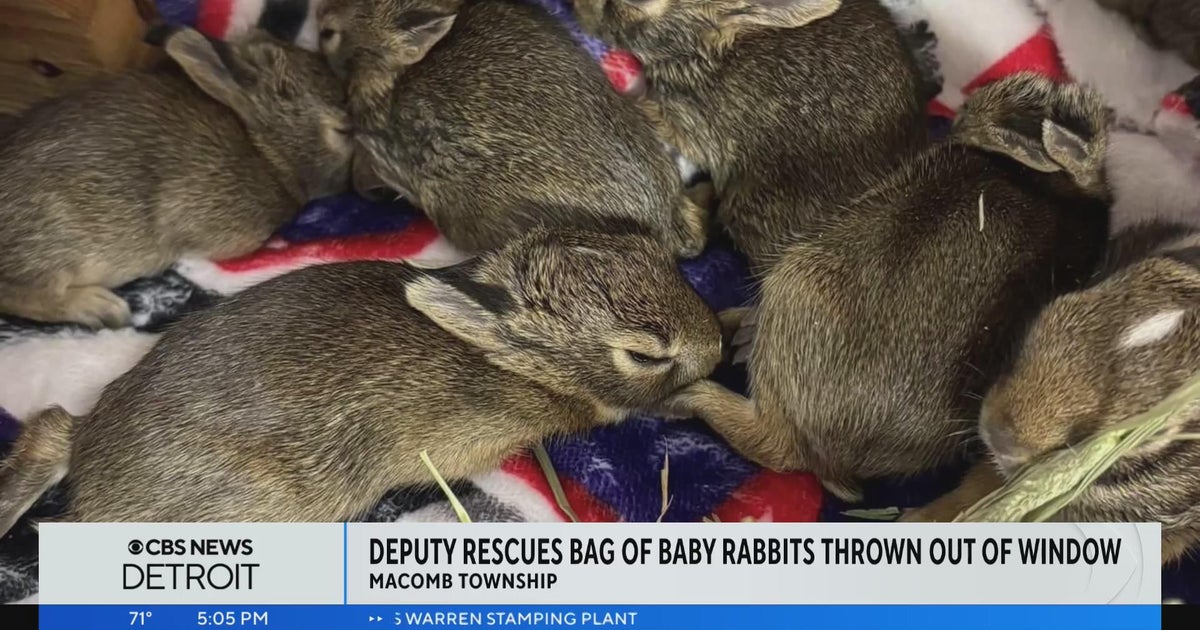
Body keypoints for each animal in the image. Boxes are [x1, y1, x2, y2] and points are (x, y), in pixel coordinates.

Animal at [658, 73, 1112, 502]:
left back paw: (695, 386)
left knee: (771, 443)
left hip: (794, 282)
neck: (1055, 189)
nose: (960, 115)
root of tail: (835, 459)